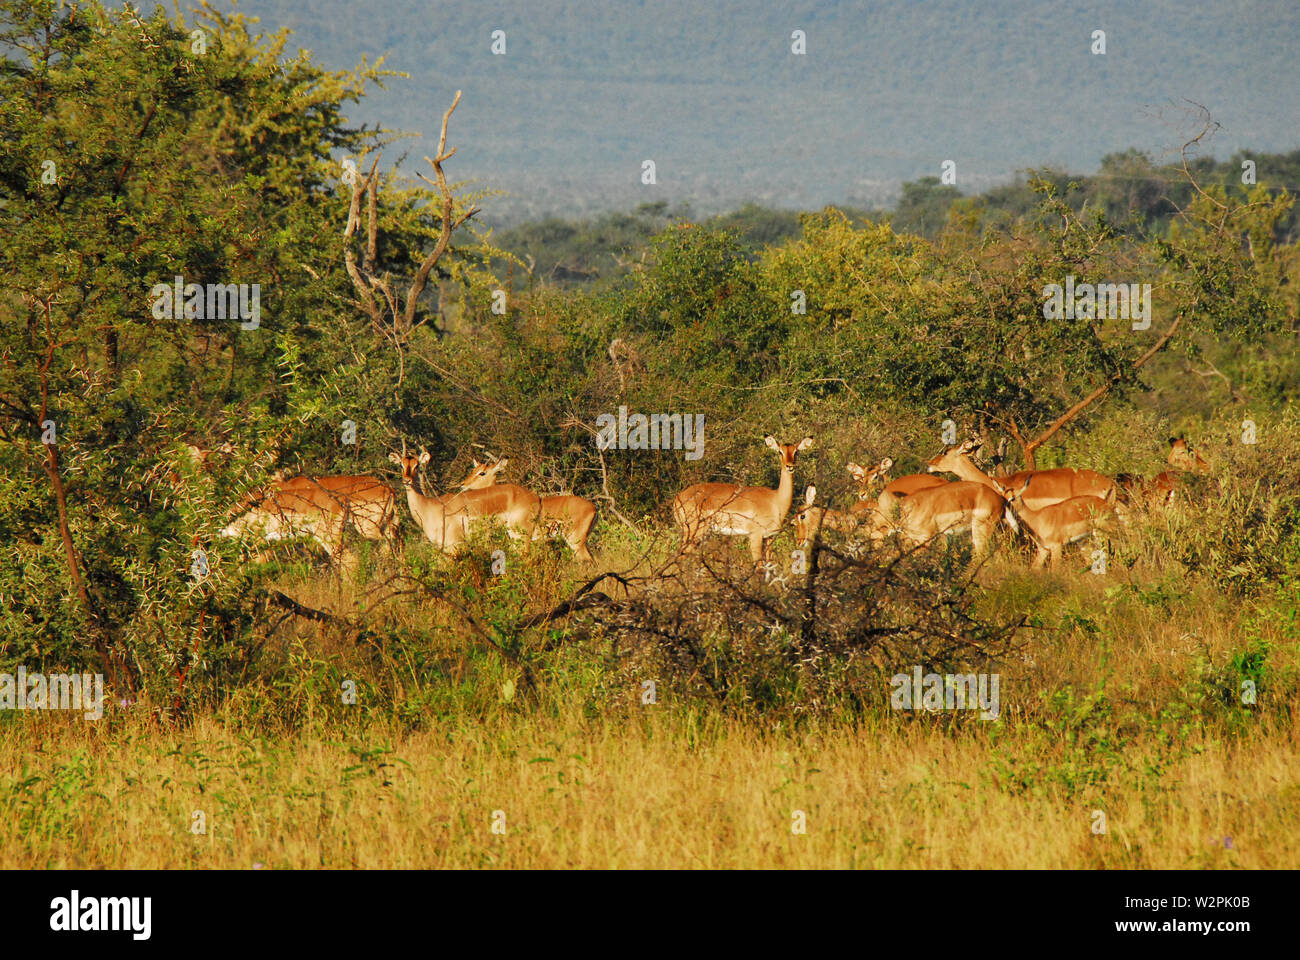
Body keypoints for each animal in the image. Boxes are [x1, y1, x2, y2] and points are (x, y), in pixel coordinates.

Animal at [458, 458, 597, 562]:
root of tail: (594, 508)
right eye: (474, 469)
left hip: (575, 541)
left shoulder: (524, 539)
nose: (462, 484)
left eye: (482, 472)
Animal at [673, 435, 813, 564]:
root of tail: (678, 497)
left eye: (796, 451)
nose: (790, 466)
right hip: (694, 533)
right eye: (780, 451)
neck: (776, 500)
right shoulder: (755, 536)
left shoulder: (769, 537)